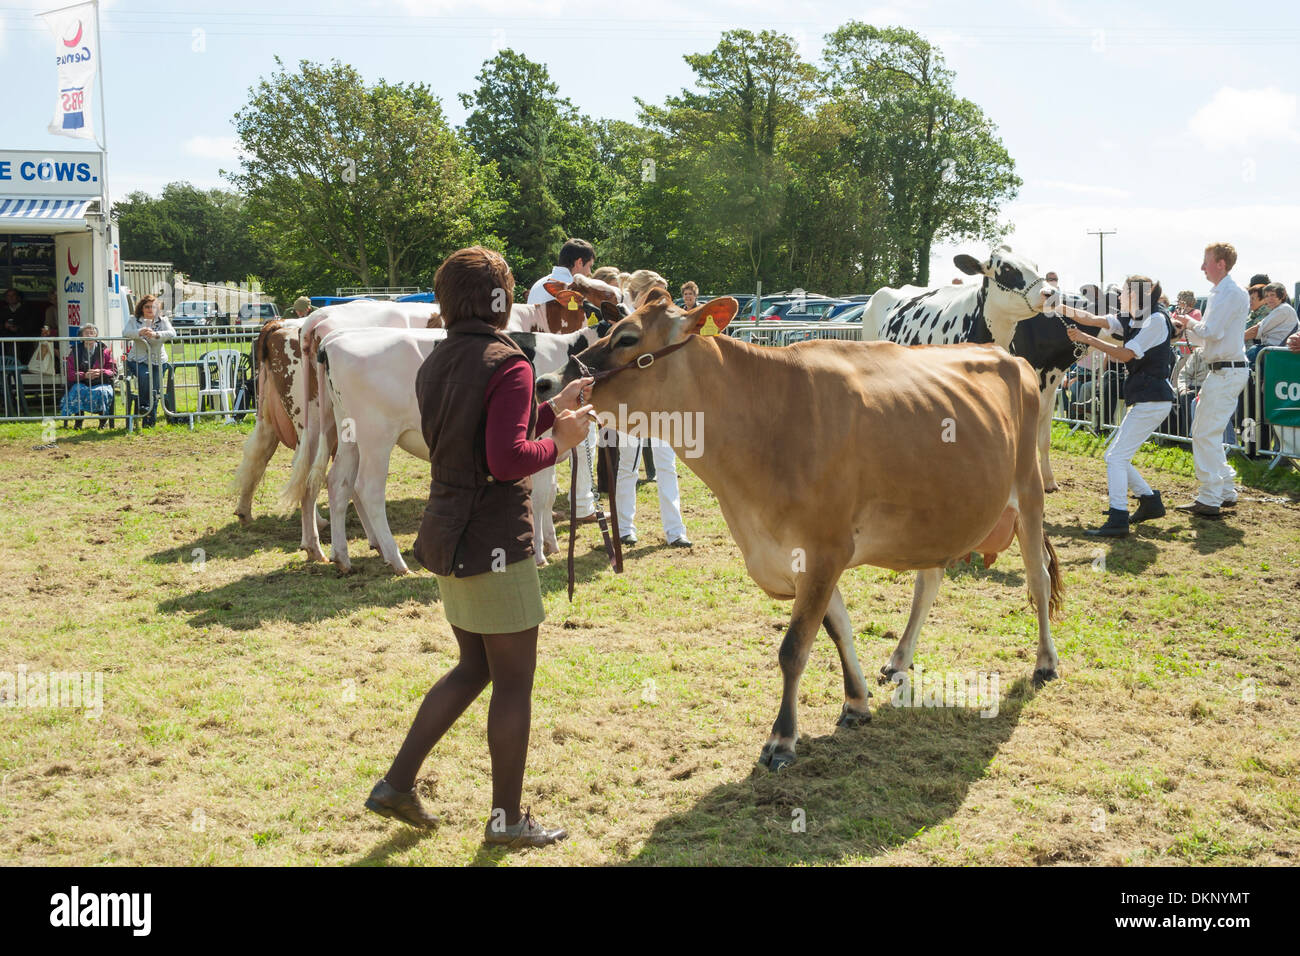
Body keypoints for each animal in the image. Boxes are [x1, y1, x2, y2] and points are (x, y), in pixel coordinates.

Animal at [315, 322, 611, 574]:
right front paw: (539, 553)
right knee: (368, 489)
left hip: (350, 434)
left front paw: (550, 542)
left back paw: (342, 557)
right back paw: (396, 559)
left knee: (339, 483)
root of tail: (334, 340)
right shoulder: (539, 442)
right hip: (377, 436)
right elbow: (539, 498)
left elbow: (548, 494)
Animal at [537, 290, 1064, 770]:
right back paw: (899, 660)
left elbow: (794, 648)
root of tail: (1007, 354)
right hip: (942, 517)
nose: (546, 381)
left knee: (1037, 579)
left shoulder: (823, 550)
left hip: (1029, 491)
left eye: (626, 337)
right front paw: (856, 703)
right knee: (929, 581)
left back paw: (1045, 663)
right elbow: (839, 630)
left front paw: (782, 740)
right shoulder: (800, 556)